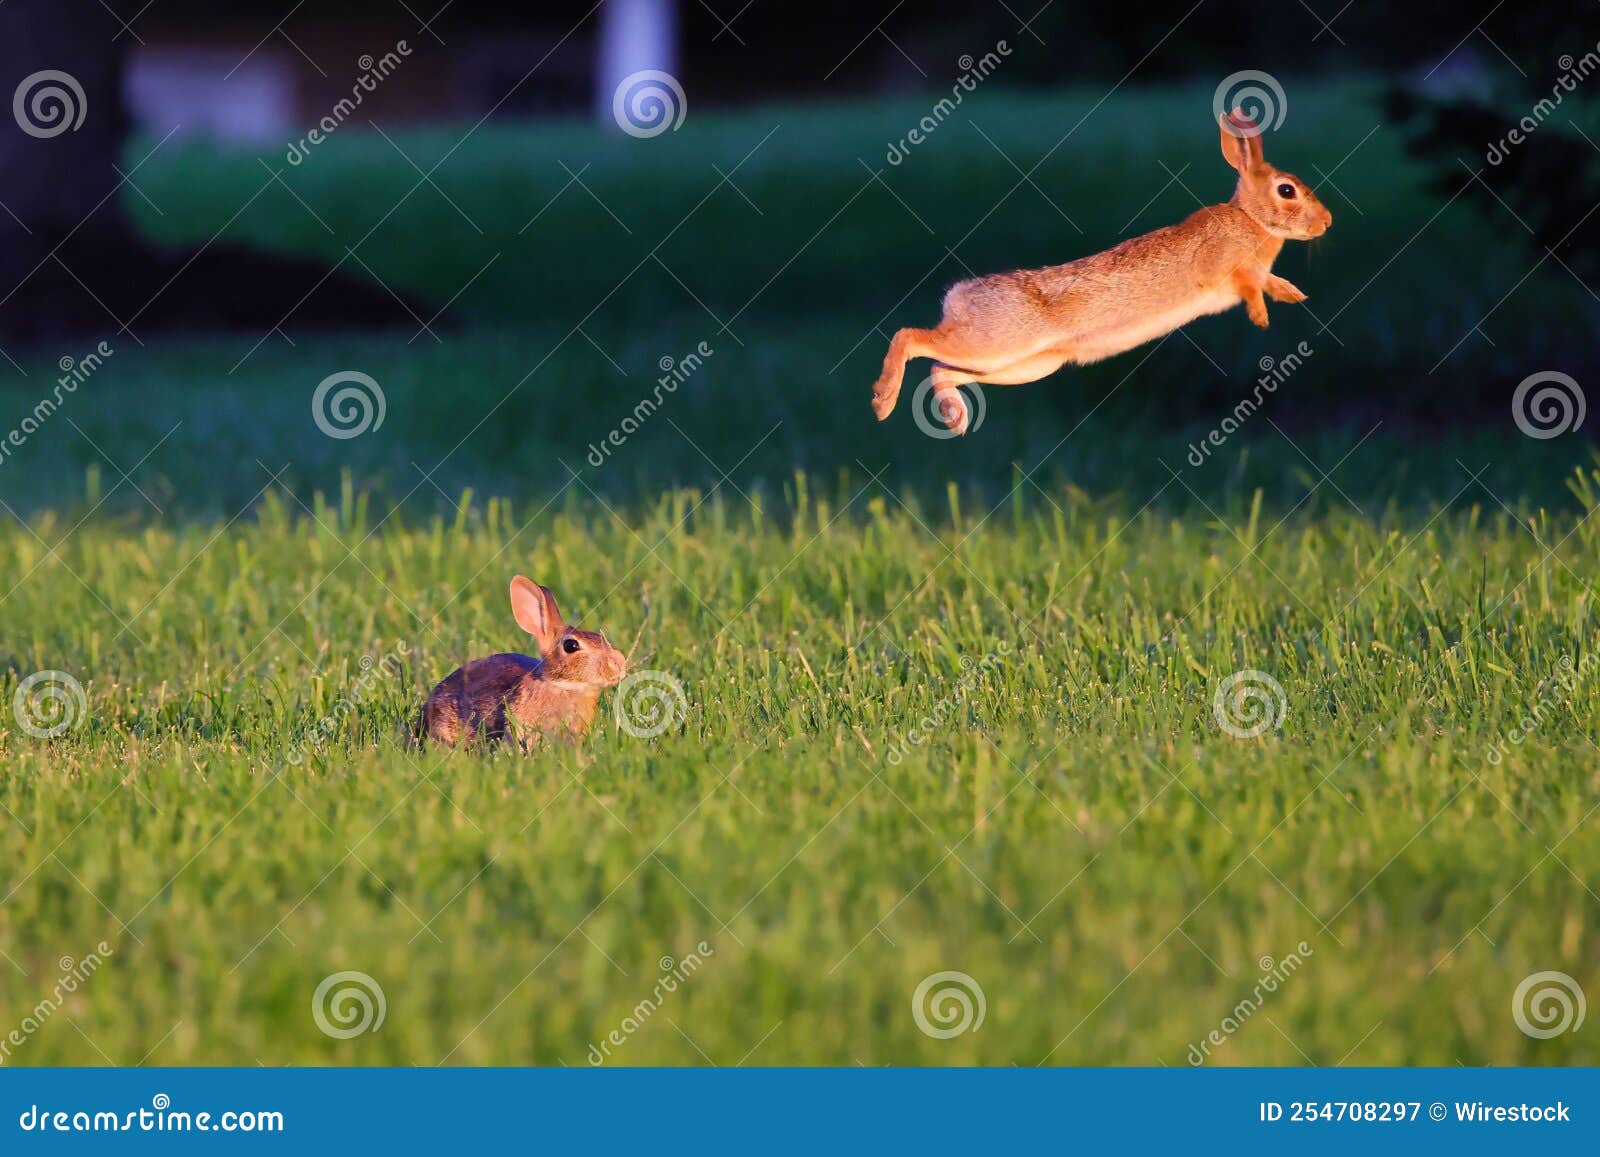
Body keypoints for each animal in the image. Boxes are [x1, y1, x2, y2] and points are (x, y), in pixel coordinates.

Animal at [870, 109, 1333, 434]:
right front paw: (1261, 316)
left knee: (939, 369)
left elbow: (1266, 281)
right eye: (1286, 191)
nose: (1326, 222)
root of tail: (959, 296)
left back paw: (955, 417)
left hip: (1022, 365)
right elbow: (1248, 284)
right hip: (994, 345)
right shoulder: (1222, 264)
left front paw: (1292, 295)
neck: (1252, 219)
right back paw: (882, 401)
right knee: (910, 338)